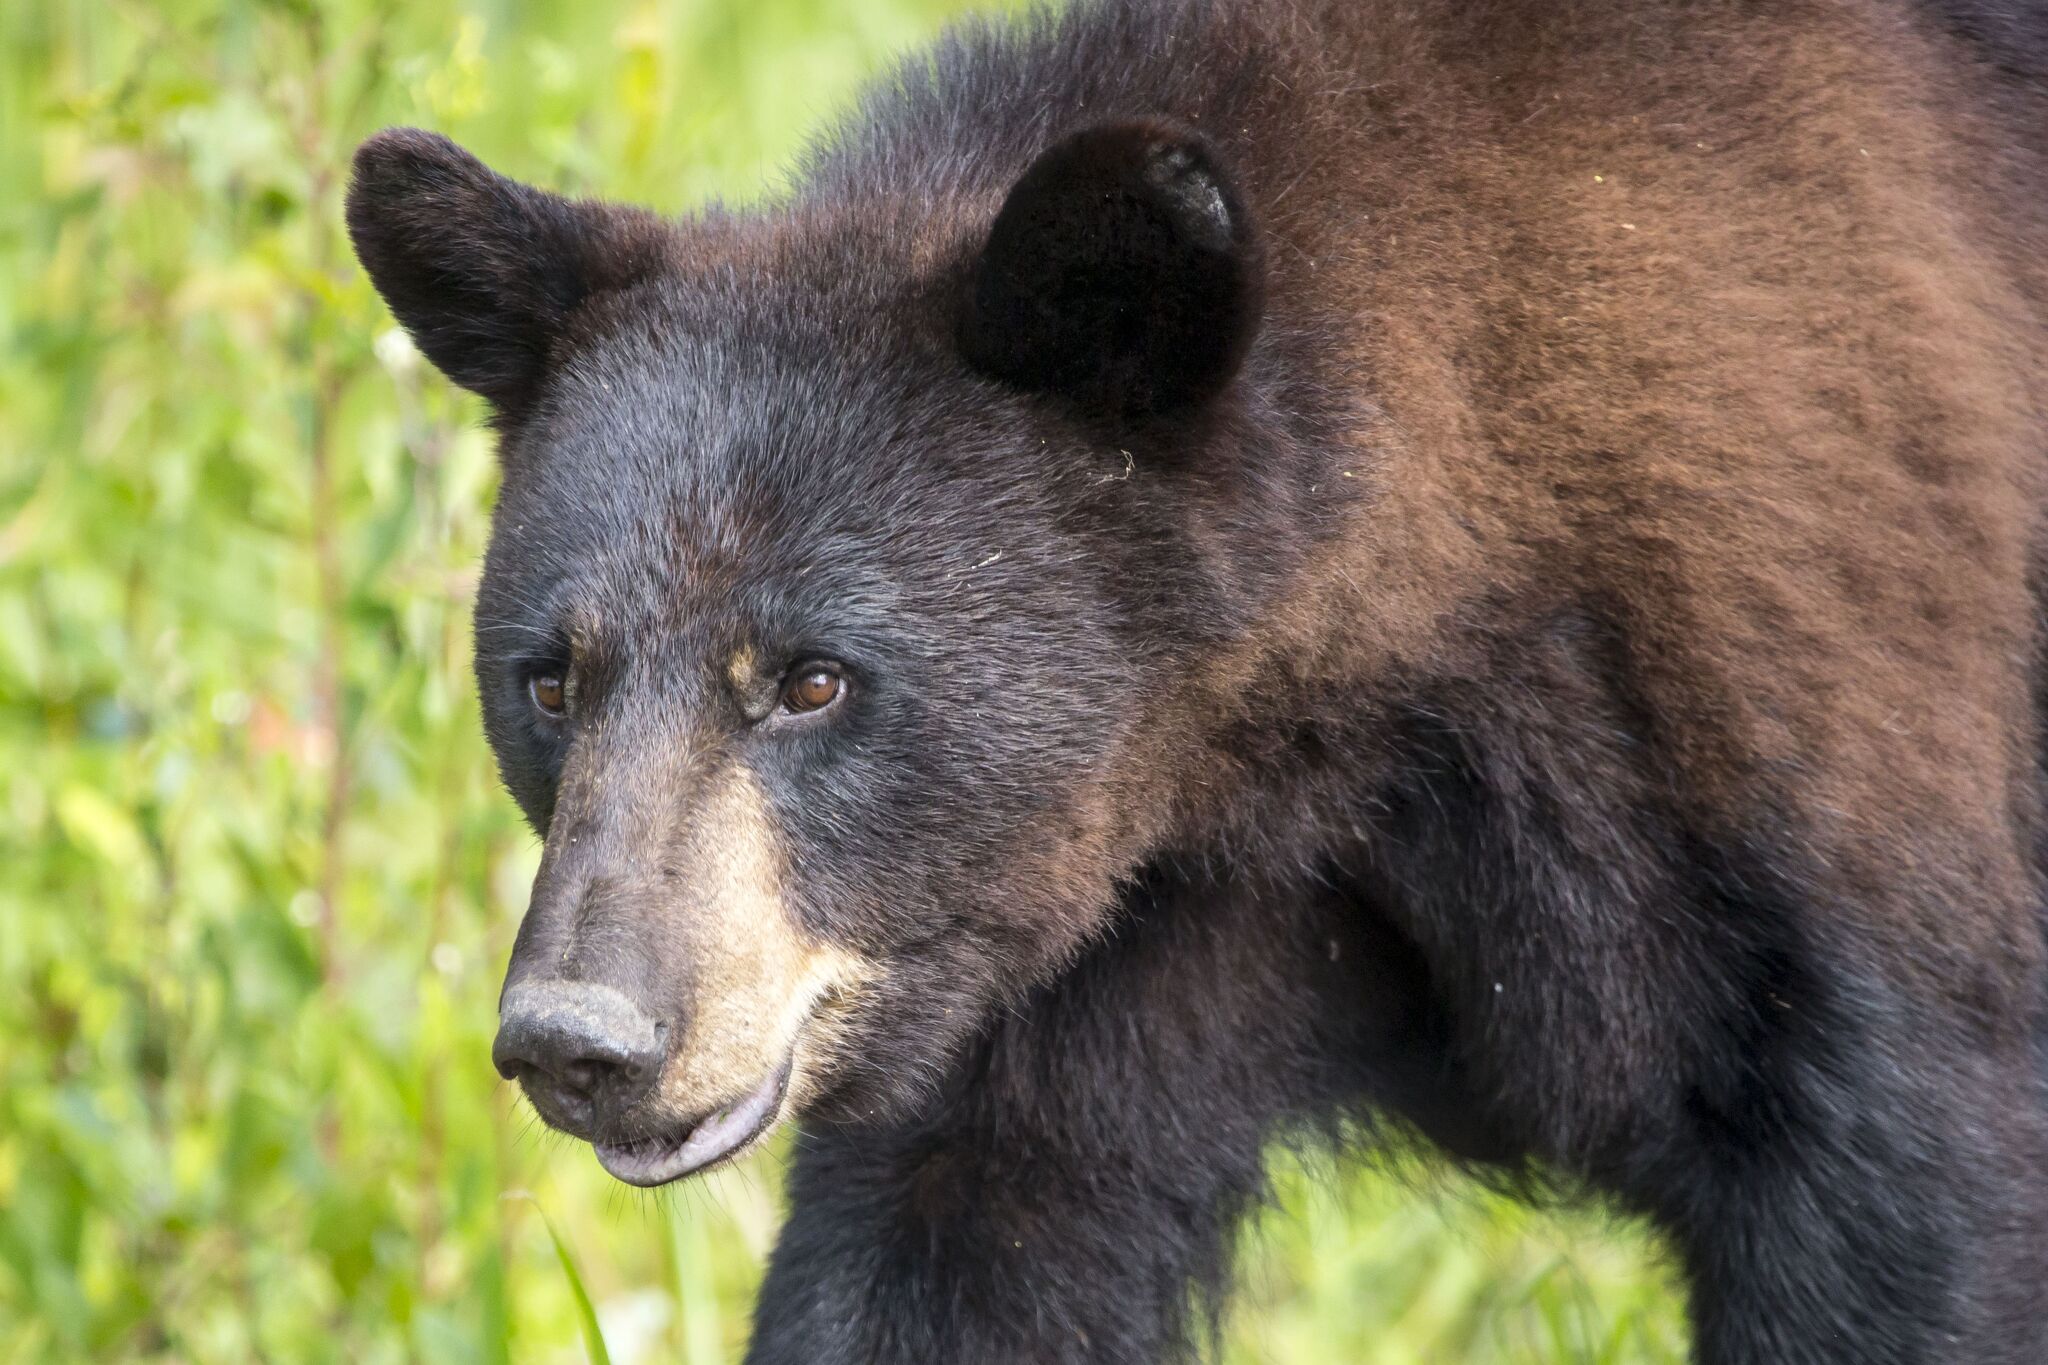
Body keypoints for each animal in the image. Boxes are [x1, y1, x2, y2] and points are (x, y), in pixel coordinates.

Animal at [344, 0, 2048, 1359]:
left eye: (814, 681)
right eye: (551, 682)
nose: (582, 1037)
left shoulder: (1821, 801)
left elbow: (1900, 1206)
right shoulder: (1110, 936)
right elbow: (963, 1251)